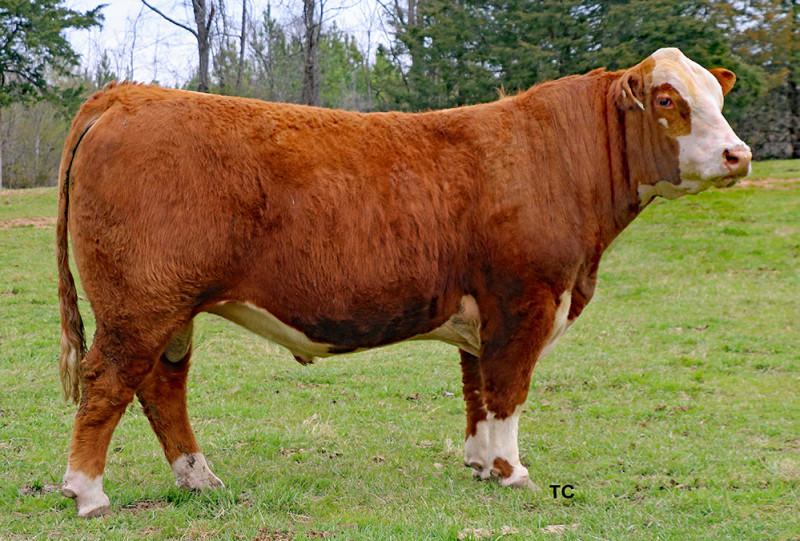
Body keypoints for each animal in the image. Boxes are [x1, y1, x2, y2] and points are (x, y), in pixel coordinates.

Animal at [56, 47, 751, 517]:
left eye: (718, 100)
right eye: (667, 100)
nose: (738, 155)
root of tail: (126, 94)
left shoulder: (483, 315)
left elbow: (478, 392)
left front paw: (479, 465)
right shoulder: (523, 301)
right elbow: (509, 390)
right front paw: (513, 472)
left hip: (170, 308)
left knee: (161, 387)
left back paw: (198, 479)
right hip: (140, 305)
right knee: (109, 381)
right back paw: (87, 493)